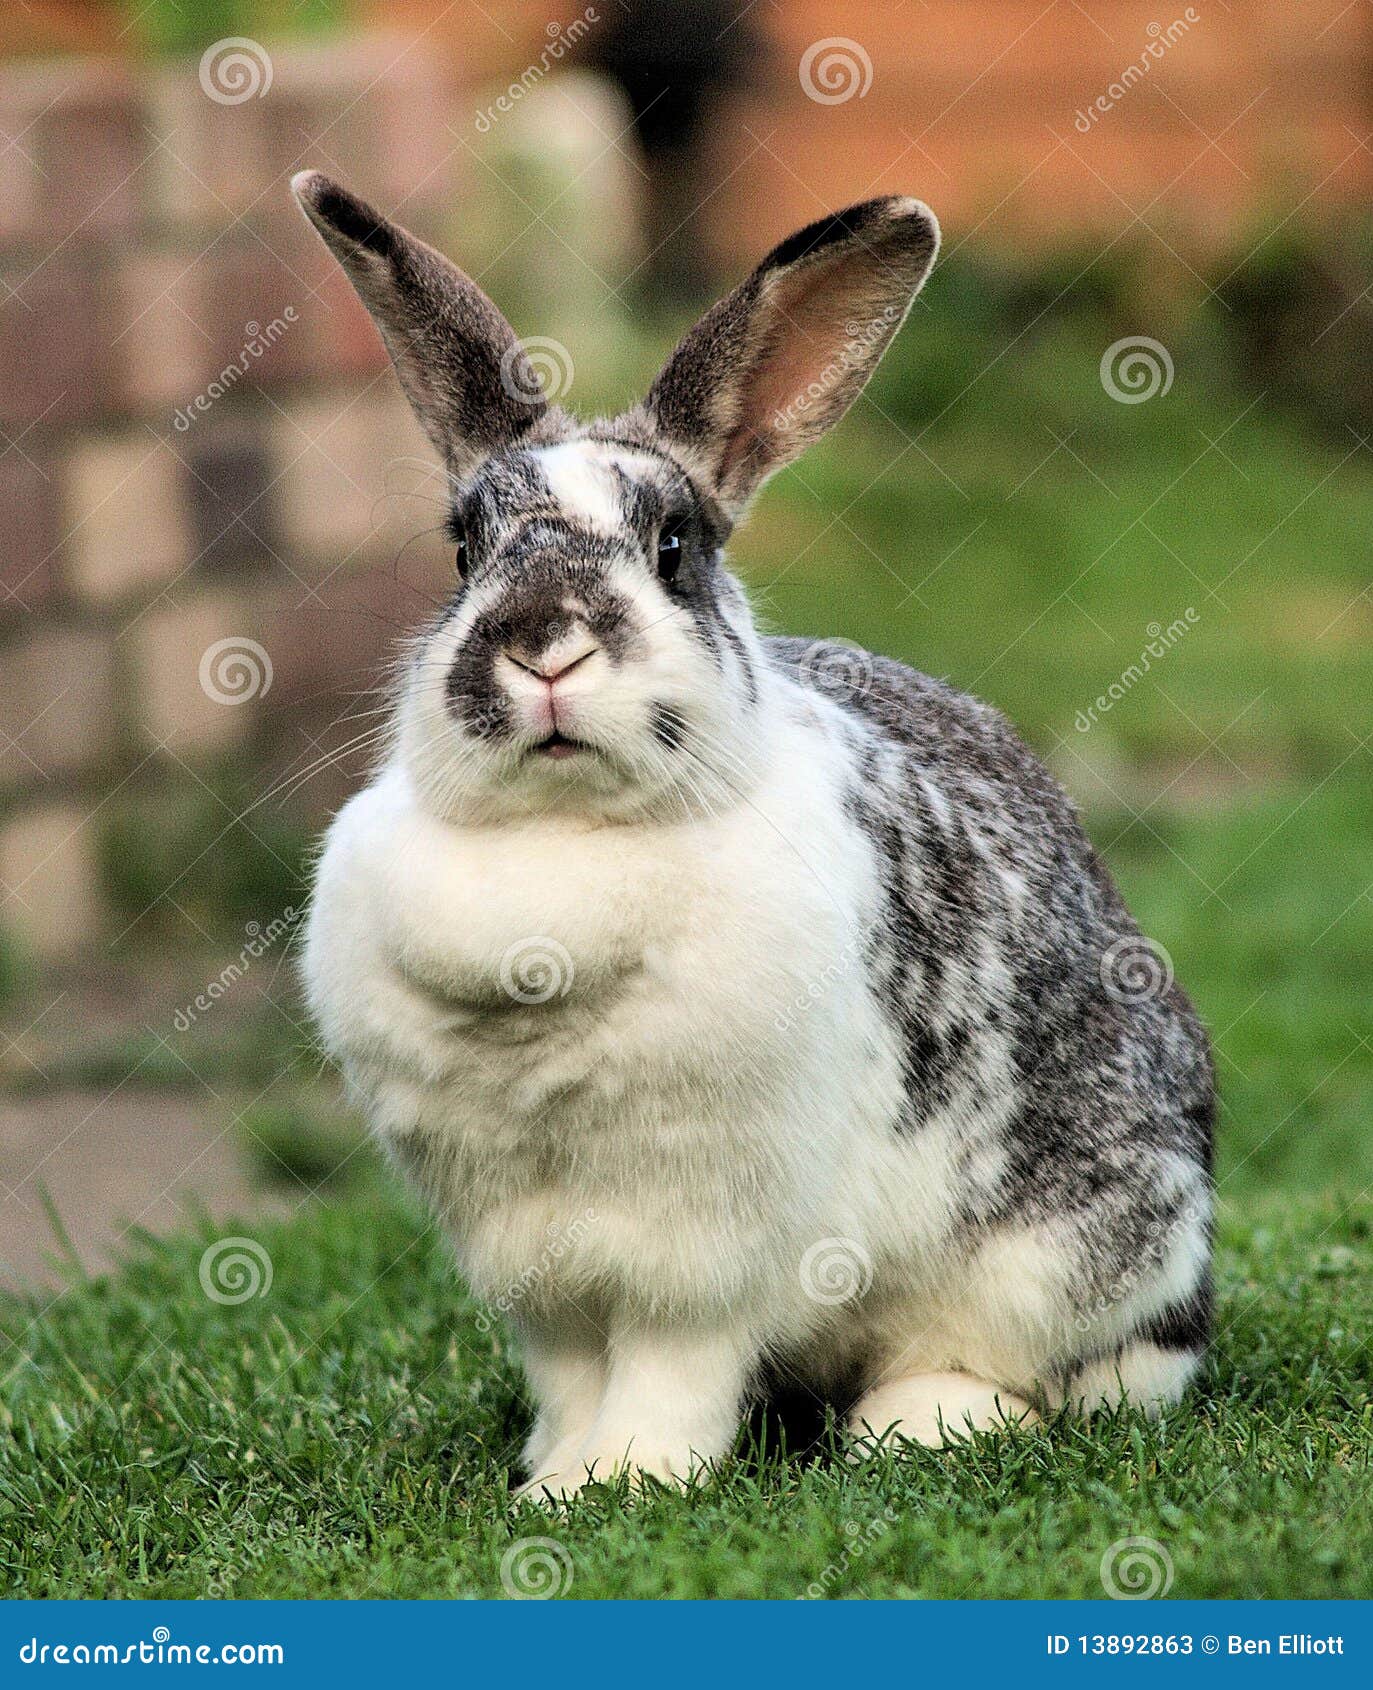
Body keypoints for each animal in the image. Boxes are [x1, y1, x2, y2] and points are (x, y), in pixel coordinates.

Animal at [294, 169, 1214, 1500]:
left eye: (673, 547)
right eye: (464, 548)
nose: (542, 644)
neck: (561, 849)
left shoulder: (701, 1242)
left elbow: (666, 1363)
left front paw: (624, 1481)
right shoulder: (529, 1256)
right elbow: (570, 1369)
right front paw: (551, 1474)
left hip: (1052, 1254)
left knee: (1062, 1368)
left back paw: (922, 1422)